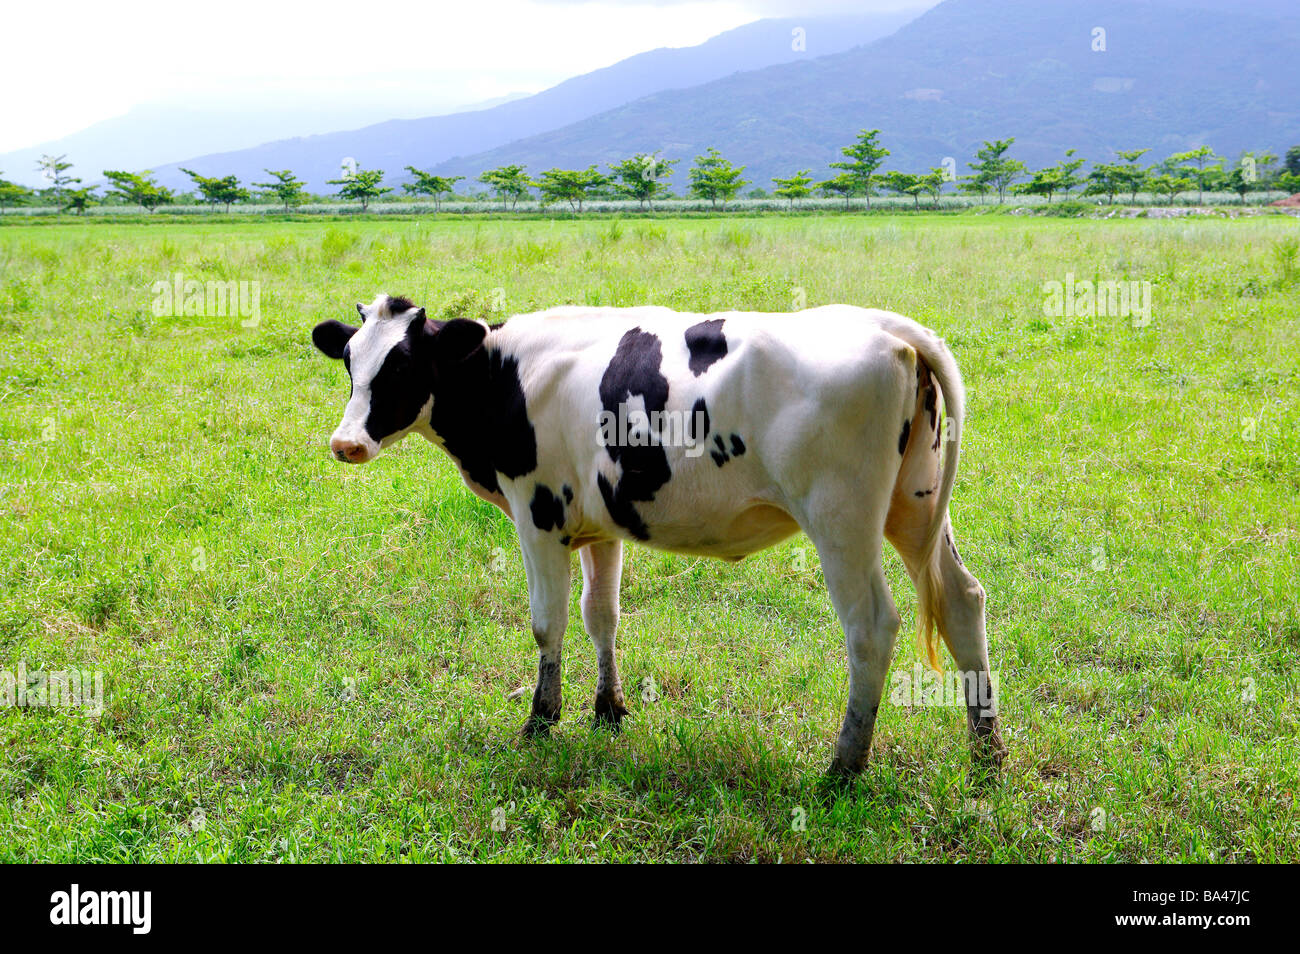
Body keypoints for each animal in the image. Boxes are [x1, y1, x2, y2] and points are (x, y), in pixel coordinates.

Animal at [312, 294, 1006, 778]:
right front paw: (608, 710)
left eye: (404, 365)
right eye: (349, 362)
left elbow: (547, 622)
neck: (505, 372)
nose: (346, 444)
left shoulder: (537, 512)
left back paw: (844, 764)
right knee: (962, 600)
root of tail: (888, 327)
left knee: (871, 627)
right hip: (913, 508)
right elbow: (600, 614)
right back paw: (987, 747)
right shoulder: (598, 524)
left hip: (842, 519)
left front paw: (540, 720)